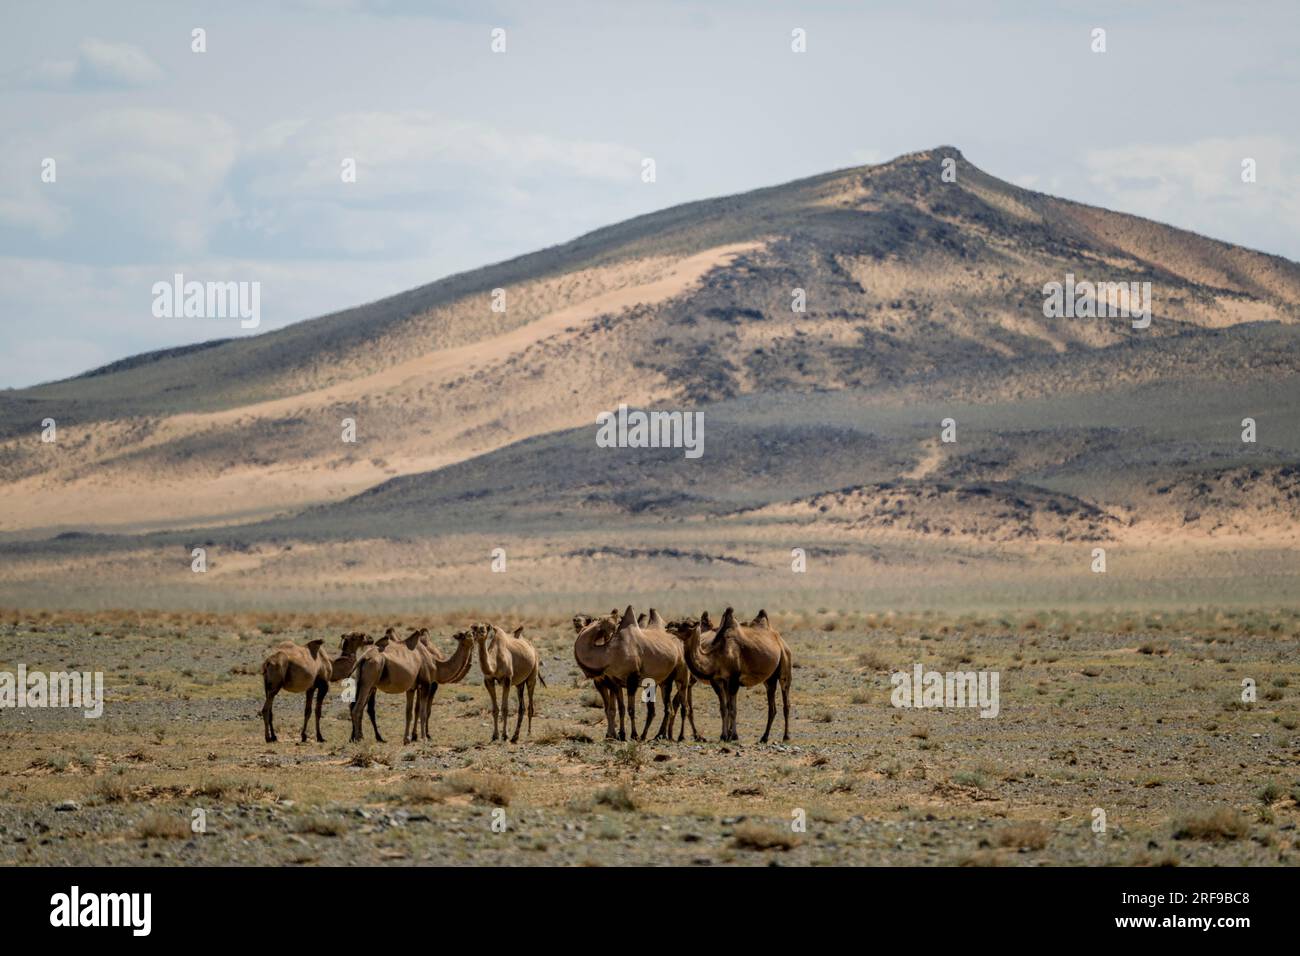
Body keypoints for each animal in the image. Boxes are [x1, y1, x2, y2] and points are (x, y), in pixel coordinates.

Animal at [572, 606, 688, 742]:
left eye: (593, 619)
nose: (576, 620)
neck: (609, 653)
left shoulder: (632, 679)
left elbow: (631, 709)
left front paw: (633, 735)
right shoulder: (615, 682)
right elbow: (620, 709)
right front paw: (621, 734)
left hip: (679, 676)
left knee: (676, 706)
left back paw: (669, 736)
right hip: (660, 681)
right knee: (663, 708)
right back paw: (656, 735)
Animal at [678, 607, 792, 743]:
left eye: (687, 625)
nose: (669, 626)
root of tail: (780, 640)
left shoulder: (733, 680)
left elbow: (732, 709)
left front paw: (732, 736)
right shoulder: (720, 680)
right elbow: (725, 708)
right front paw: (725, 735)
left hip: (785, 664)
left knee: (786, 701)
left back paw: (786, 736)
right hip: (769, 678)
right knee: (772, 706)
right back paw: (764, 737)